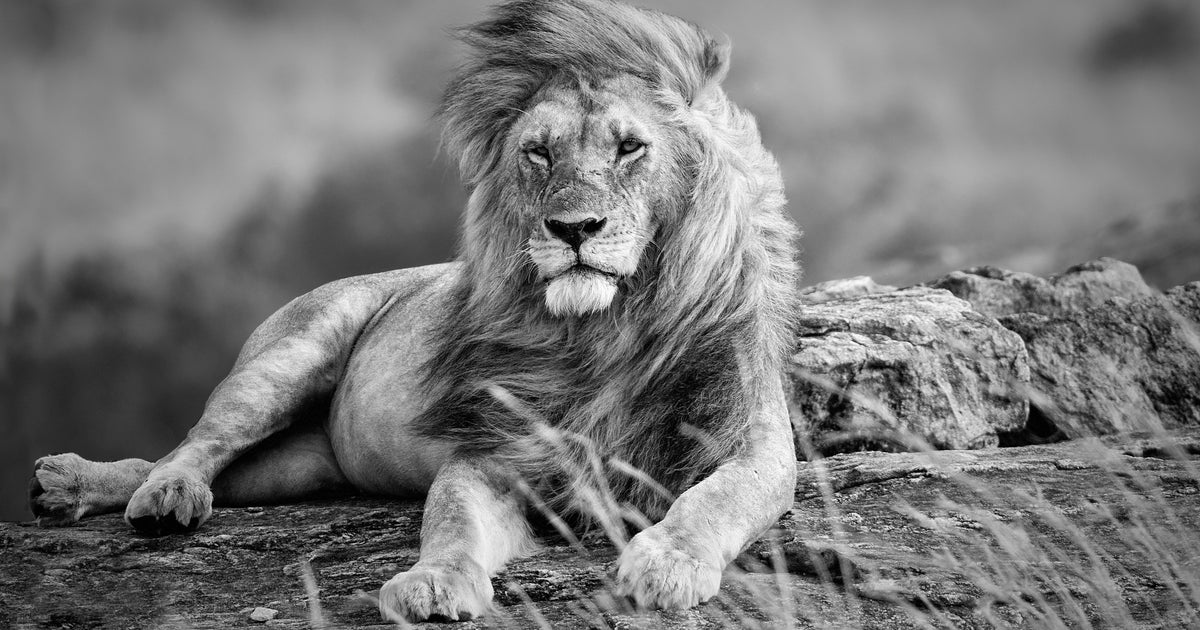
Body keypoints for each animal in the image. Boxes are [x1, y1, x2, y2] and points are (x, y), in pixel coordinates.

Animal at [28, 0, 800, 622]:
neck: (605, 332)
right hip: (287, 358)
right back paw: (145, 493)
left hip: (297, 466)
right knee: (195, 443)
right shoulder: (490, 453)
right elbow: (451, 521)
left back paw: (73, 487)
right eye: (539, 153)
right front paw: (433, 585)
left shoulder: (754, 442)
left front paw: (667, 562)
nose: (573, 229)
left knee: (200, 464)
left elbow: (717, 498)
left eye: (630, 146)